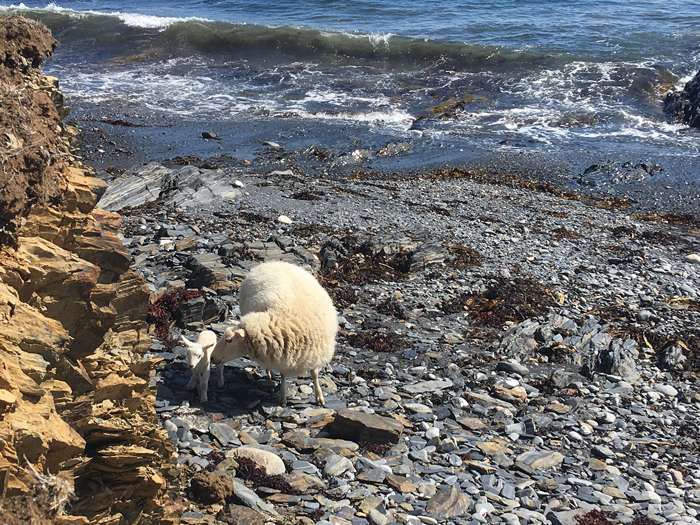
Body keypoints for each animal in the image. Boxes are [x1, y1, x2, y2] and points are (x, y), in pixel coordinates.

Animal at [210, 261, 338, 406]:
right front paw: (282, 399)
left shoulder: (315, 353)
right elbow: (283, 375)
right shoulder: (283, 357)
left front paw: (319, 397)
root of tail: (272, 262)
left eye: (229, 340)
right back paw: (270, 373)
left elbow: (315, 374)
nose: (212, 357)